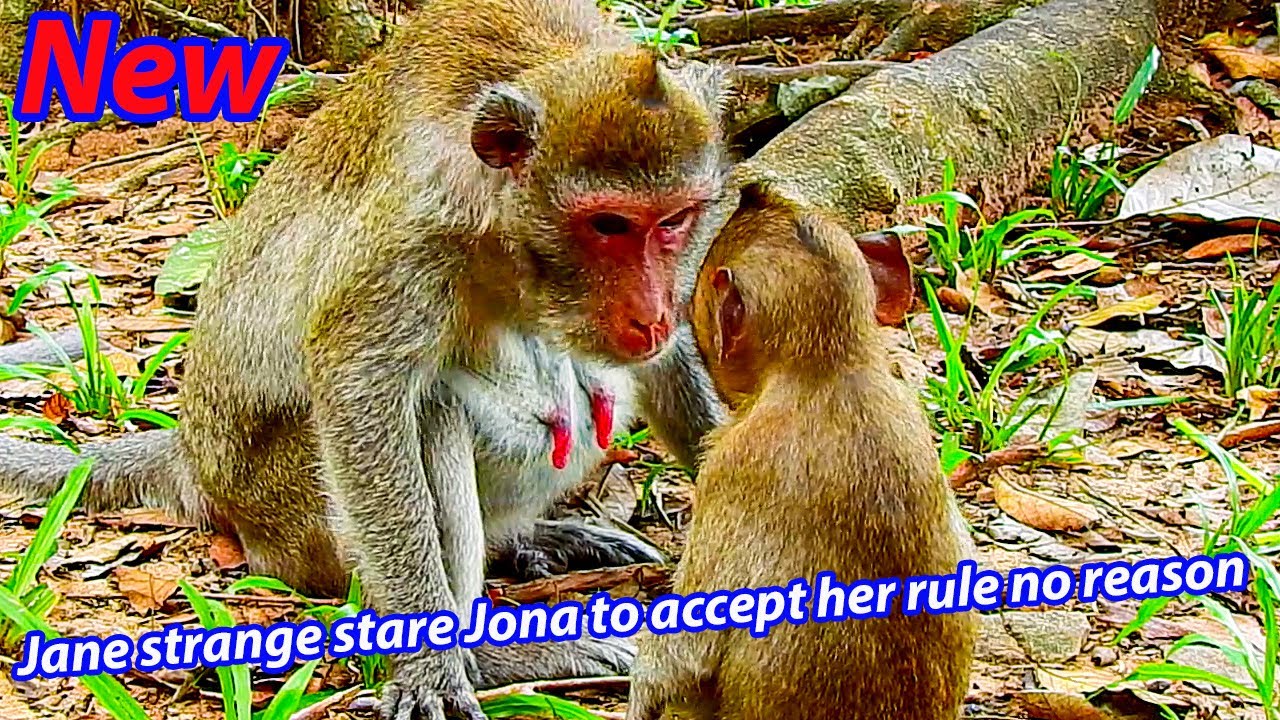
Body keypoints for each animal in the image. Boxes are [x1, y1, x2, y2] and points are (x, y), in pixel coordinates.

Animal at [0, 1, 732, 717]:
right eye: (609, 224)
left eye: (673, 220)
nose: (649, 312)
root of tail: (194, 455)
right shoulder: (420, 226)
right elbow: (361, 389)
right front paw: (431, 663)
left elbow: (668, 363)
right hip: (292, 511)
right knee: (431, 414)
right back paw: (490, 659)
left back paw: (529, 541)